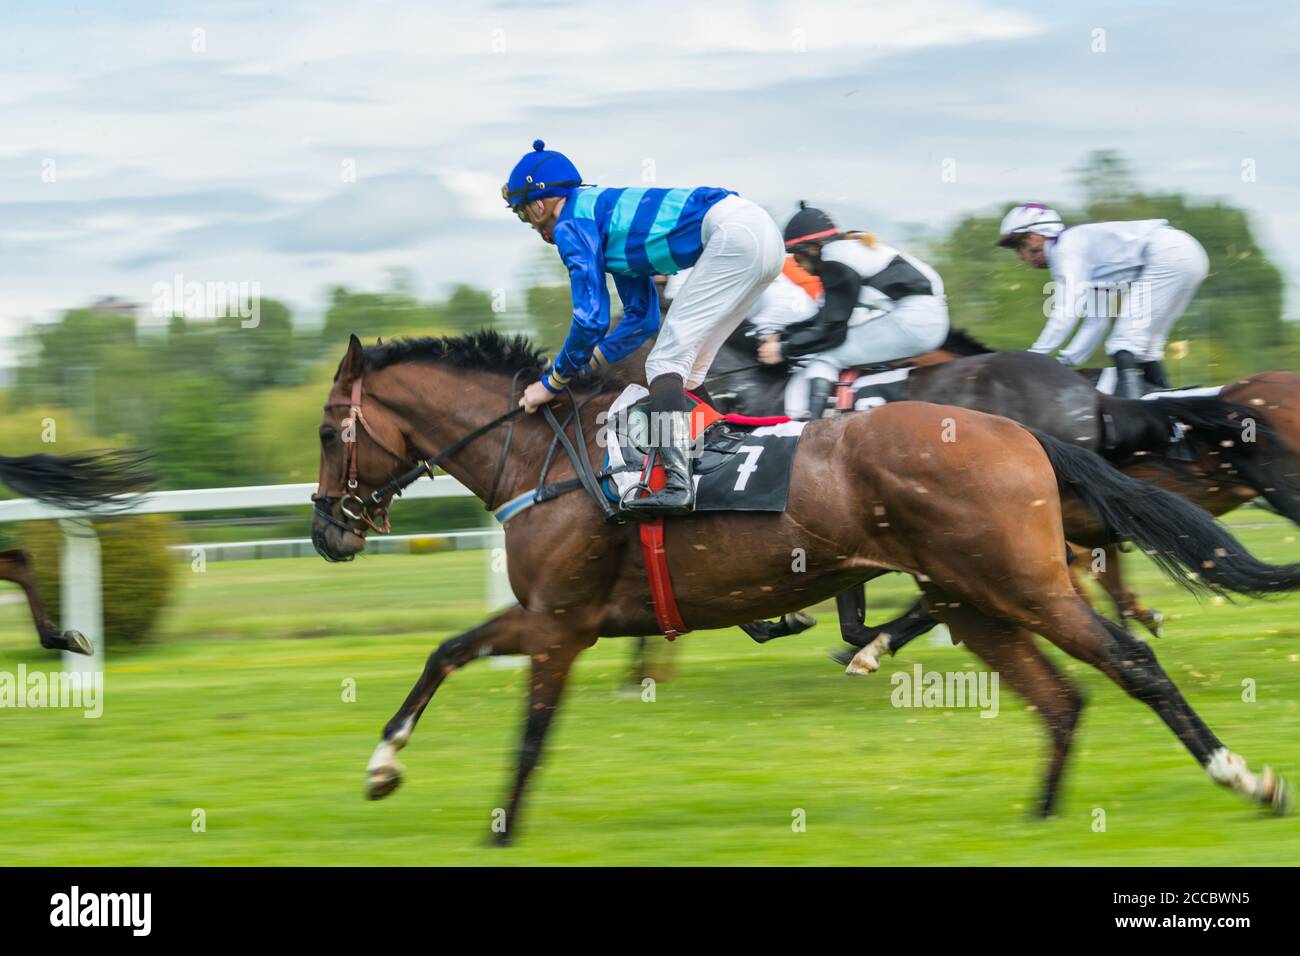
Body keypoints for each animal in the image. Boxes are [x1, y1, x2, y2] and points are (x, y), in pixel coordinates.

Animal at [311, 331, 1300, 842]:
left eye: (327, 433)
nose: (326, 530)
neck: (548, 458)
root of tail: (1029, 431)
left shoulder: (561, 621)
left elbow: (530, 735)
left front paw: (500, 828)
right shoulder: (555, 616)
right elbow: (445, 654)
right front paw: (382, 766)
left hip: (1021, 584)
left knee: (1129, 665)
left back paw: (1242, 776)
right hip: (972, 599)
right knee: (1060, 700)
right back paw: (1037, 816)